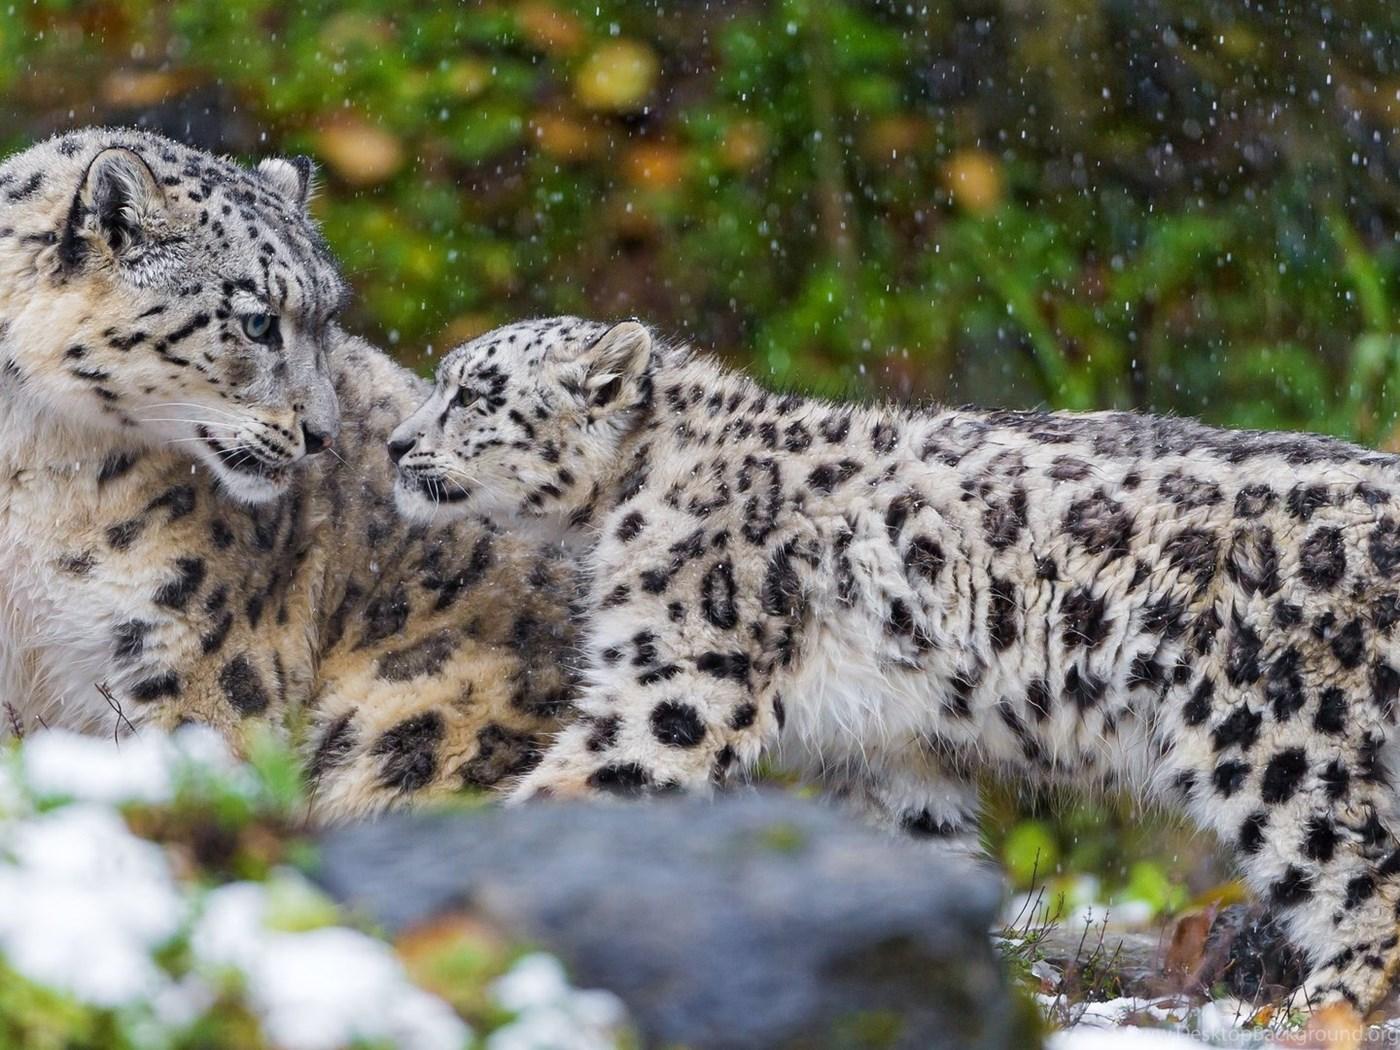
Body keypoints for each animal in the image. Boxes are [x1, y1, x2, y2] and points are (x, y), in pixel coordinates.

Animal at [388, 313, 1400, 1014]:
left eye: (472, 394)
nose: (397, 443)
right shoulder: (892, 751)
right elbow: (923, 856)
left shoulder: (676, 687)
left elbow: (568, 790)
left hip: (1281, 745)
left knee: (1367, 889)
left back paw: (1311, 1014)